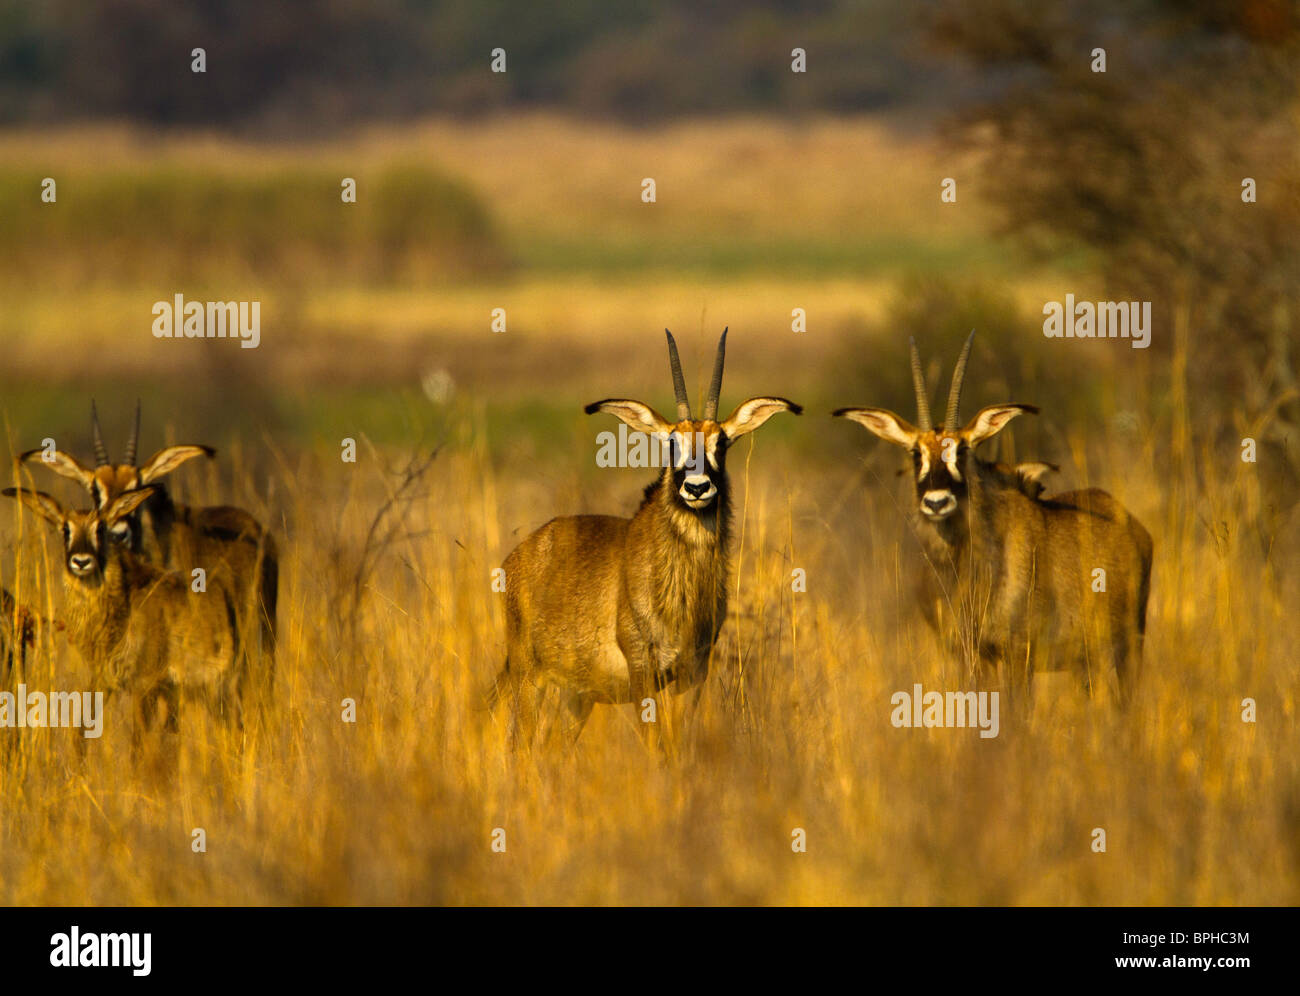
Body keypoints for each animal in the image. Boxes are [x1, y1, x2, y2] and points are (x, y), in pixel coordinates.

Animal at [491, 329, 801, 742]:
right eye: (671, 442)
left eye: (720, 442)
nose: (697, 488)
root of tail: (518, 556)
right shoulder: (643, 673)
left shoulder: (692, 675)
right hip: (530, 678)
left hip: (575, 698)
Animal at [833, 333, 1152, 702]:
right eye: (916, 454)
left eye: (962, 450)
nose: (937, 502)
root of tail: (1133, 526)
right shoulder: (972, 655)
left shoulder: (1018, 654)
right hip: (1085, 661)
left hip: (1128, 646)